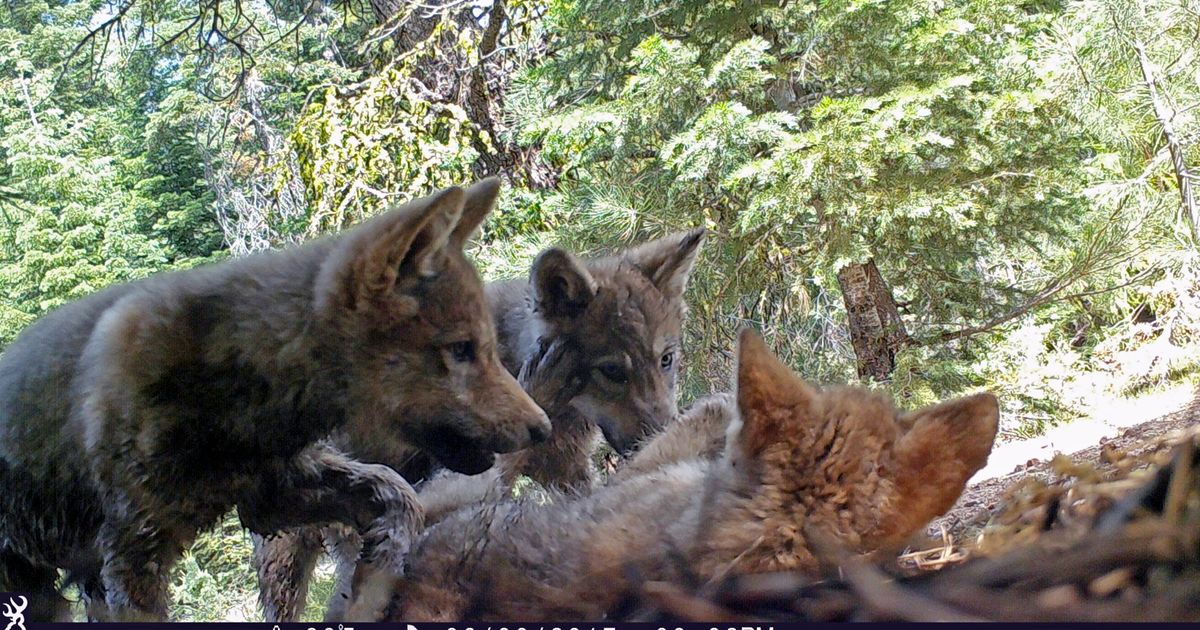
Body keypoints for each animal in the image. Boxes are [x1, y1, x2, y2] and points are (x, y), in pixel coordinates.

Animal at [0, 179, 550, 621]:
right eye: (461, 350)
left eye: (488, 348)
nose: (542, 429)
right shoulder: (133, 553)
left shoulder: (273, 494)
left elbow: (398, 497)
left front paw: (370, 585)